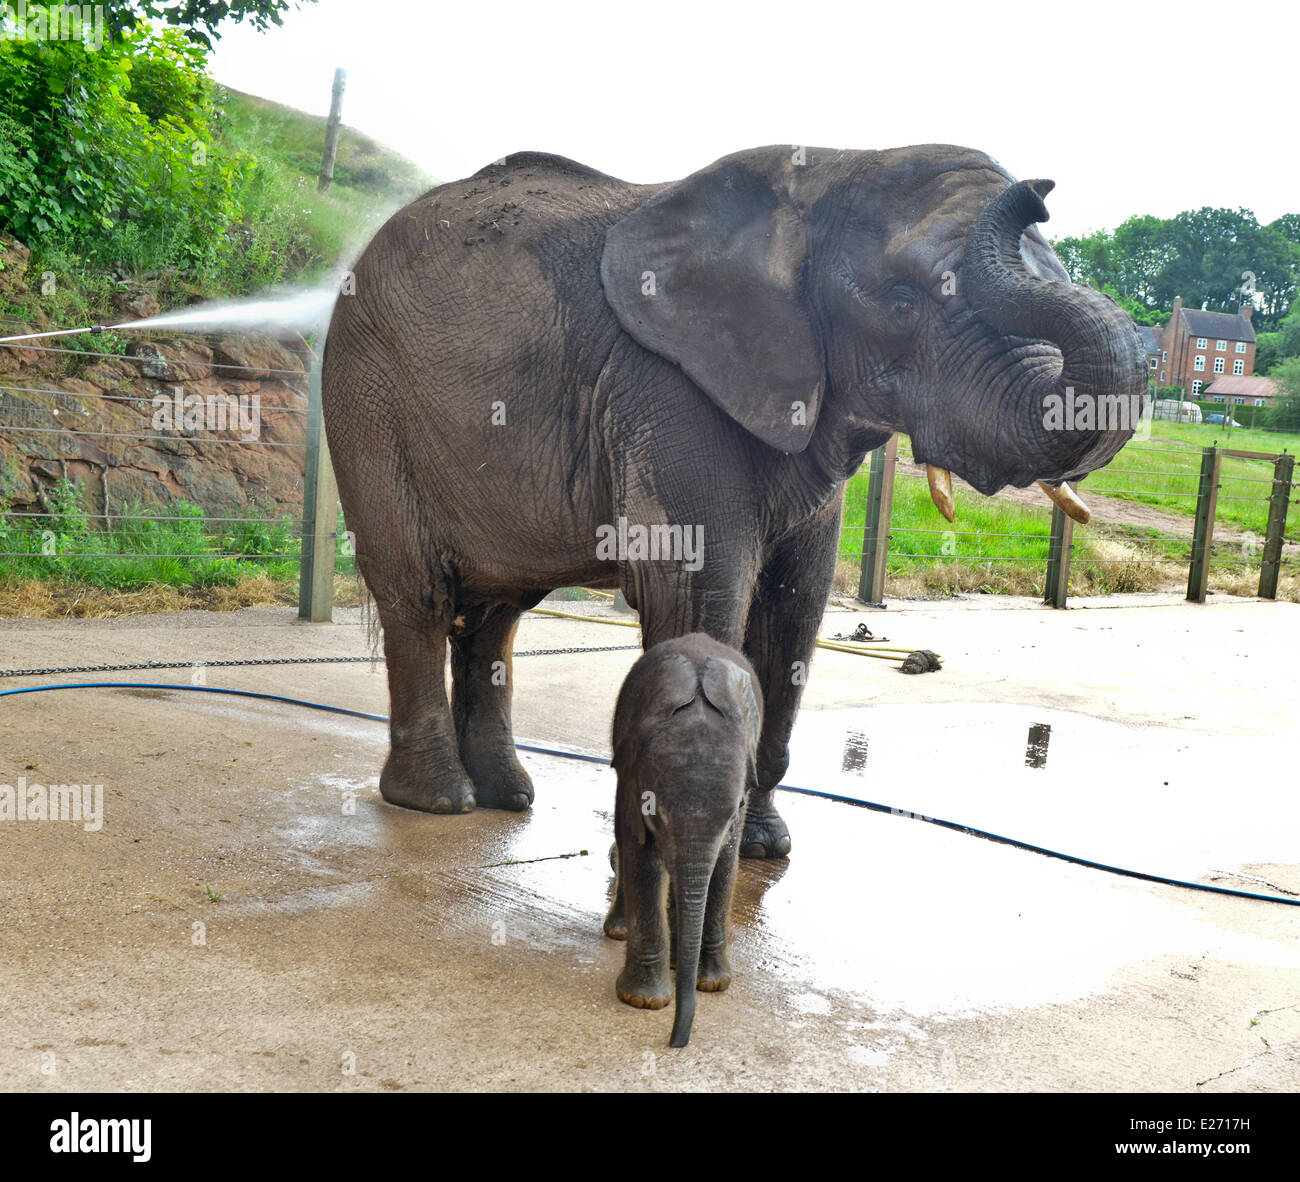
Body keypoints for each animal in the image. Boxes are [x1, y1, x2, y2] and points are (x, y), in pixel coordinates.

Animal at [321, 143, 1146, 858]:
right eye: (903, 303)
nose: (1039, 188)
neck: (827, 173)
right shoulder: (663, 387)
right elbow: (703, 592)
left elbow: (795, 608)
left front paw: (761, 851)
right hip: (367, 402)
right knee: (420, 596)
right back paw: (439, 801)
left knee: (497, 614)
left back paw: (508, 796)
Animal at [602, 633, 762, 1048]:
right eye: (657, 814)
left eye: (734, 812)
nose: (677, 1043)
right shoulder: (633, 777)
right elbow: (642, 857)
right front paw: (641, 1001)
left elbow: (726, 864)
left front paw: (714, 984)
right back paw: (621, 932)